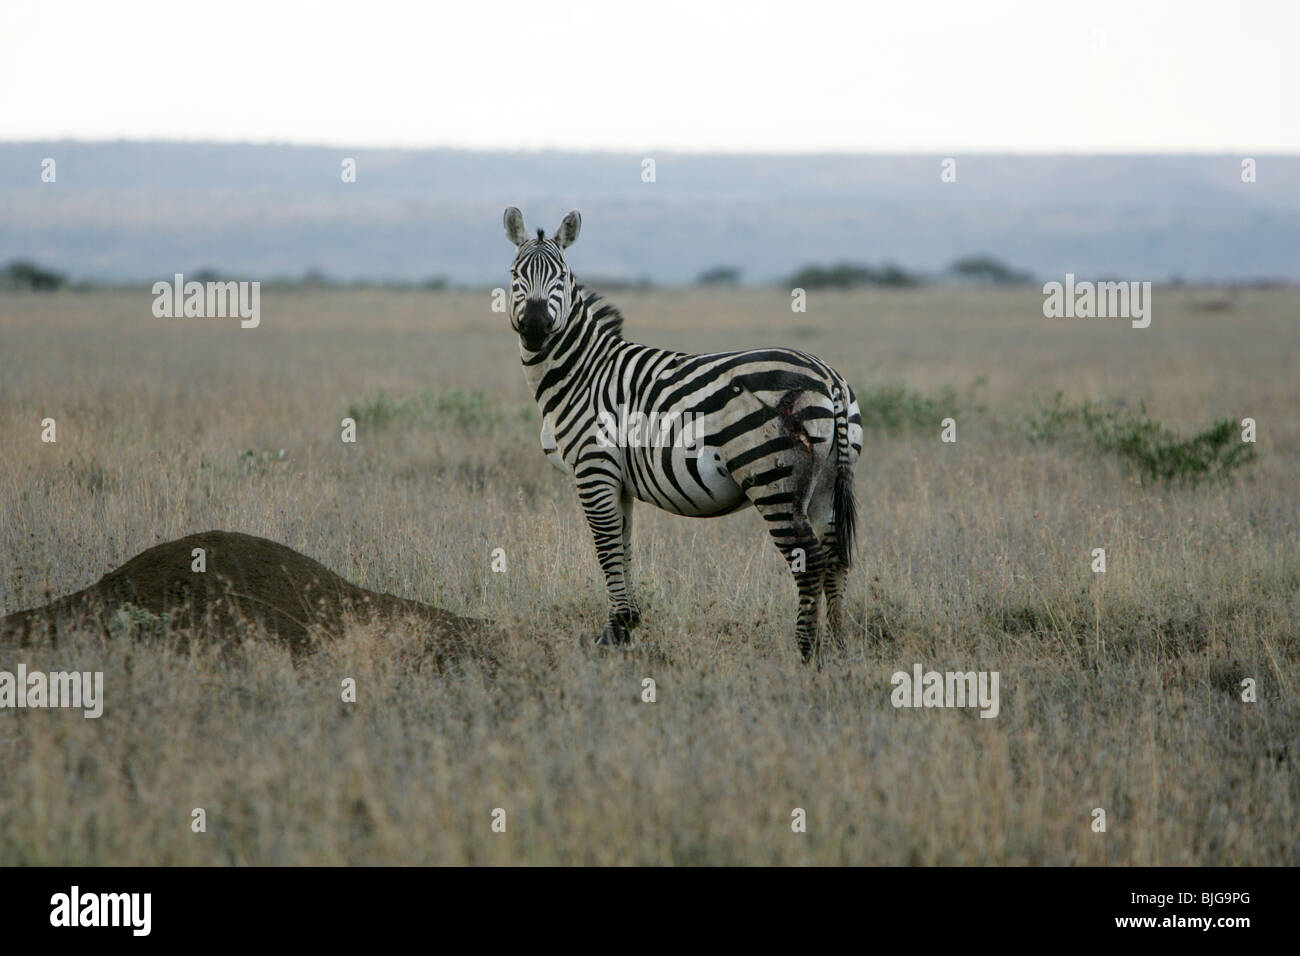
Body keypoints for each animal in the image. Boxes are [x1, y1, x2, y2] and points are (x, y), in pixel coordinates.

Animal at [503, 207, 863, 661]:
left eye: (563, 276)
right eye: (515, 273)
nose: (535, 326)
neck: (583, 372)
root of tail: (828, 376)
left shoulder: (593, 468)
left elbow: (606, 547)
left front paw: (613, 633)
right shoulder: (619, 480)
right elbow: (625, 545)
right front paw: (627, 624)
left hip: (772, 478)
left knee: (810, 559)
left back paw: (806, 651)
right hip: (827, 483)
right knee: (835, 558)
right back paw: (839, 646)